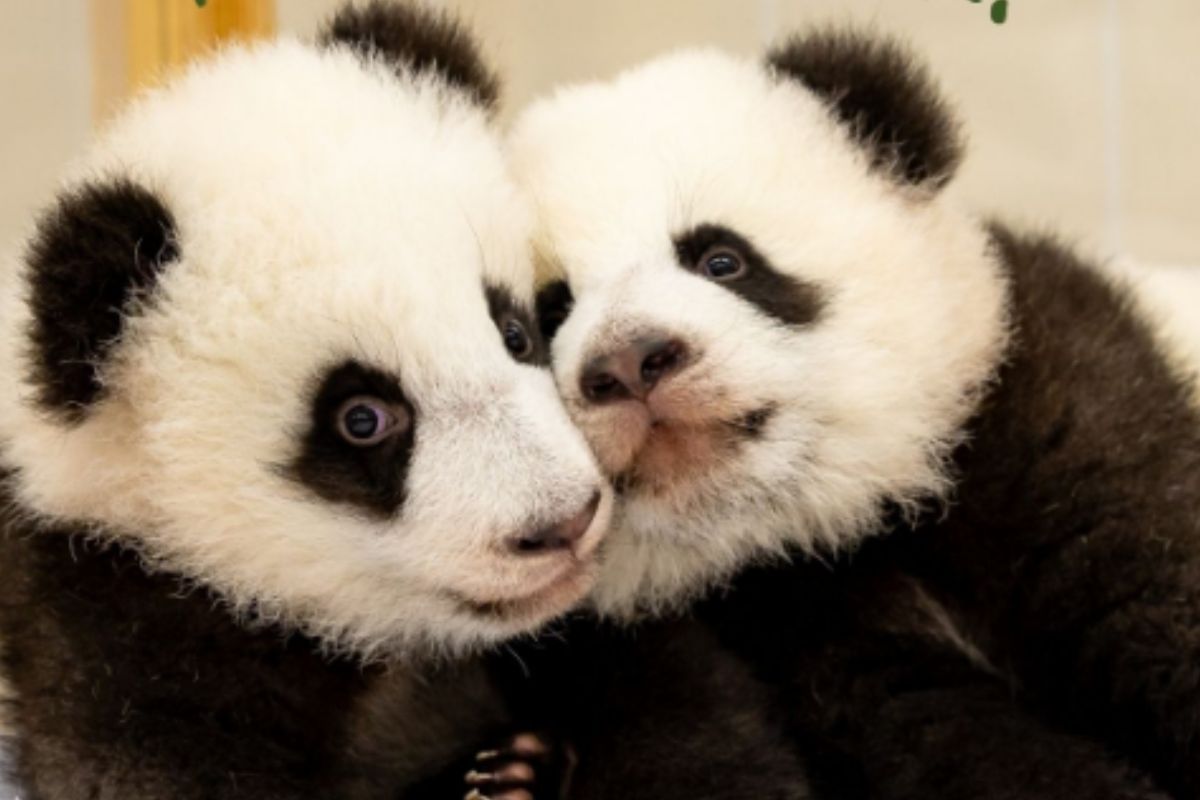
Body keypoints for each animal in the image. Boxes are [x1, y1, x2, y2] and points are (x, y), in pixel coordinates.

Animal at [0, 2, 613, 798]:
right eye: (363, 419)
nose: (563, 524)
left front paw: (522, 766)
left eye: (514, 330)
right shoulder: (111, 619)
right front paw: (503, 775)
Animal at [466, 28, 1200, 800]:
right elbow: (935, 729)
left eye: (721, 259)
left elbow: (1154, 600)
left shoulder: (1054, 412)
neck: (843, 516)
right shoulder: (789, 622)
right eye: (551, 313)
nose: (633, 361)